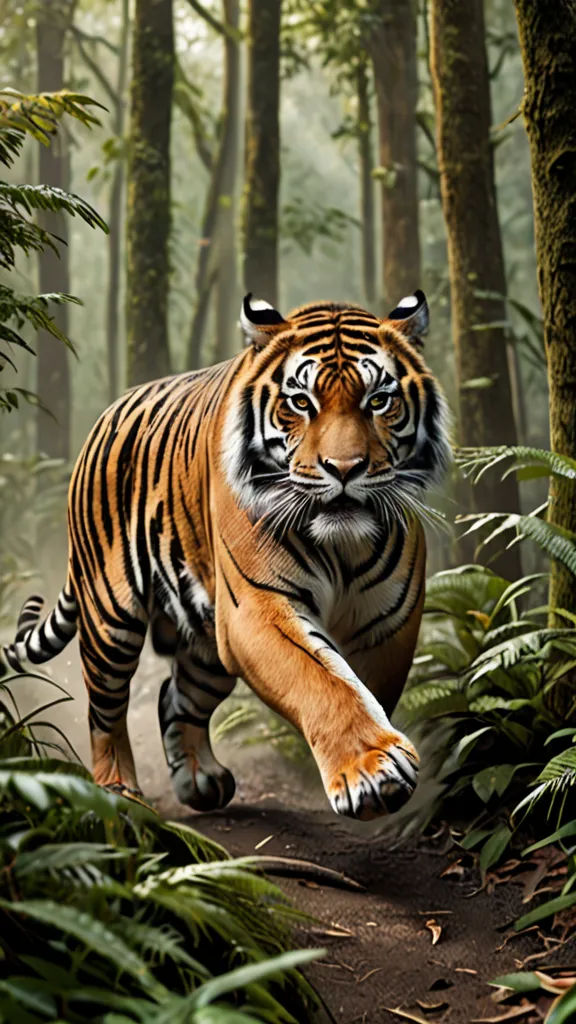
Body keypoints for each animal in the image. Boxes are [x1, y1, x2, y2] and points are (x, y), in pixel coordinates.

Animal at [0, 290, 450, 820]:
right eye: (301, 402)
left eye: (378, 400)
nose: (344, 468)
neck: (341, 543)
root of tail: (106, 416)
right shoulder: (257, 608)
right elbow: (324, 681)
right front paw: (371, 769)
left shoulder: (387, 621)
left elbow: (362, 683)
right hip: (111, 616)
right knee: (104, 708)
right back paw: (117, 793)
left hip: (208, 641)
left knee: (175, 696)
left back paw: (201, 780)